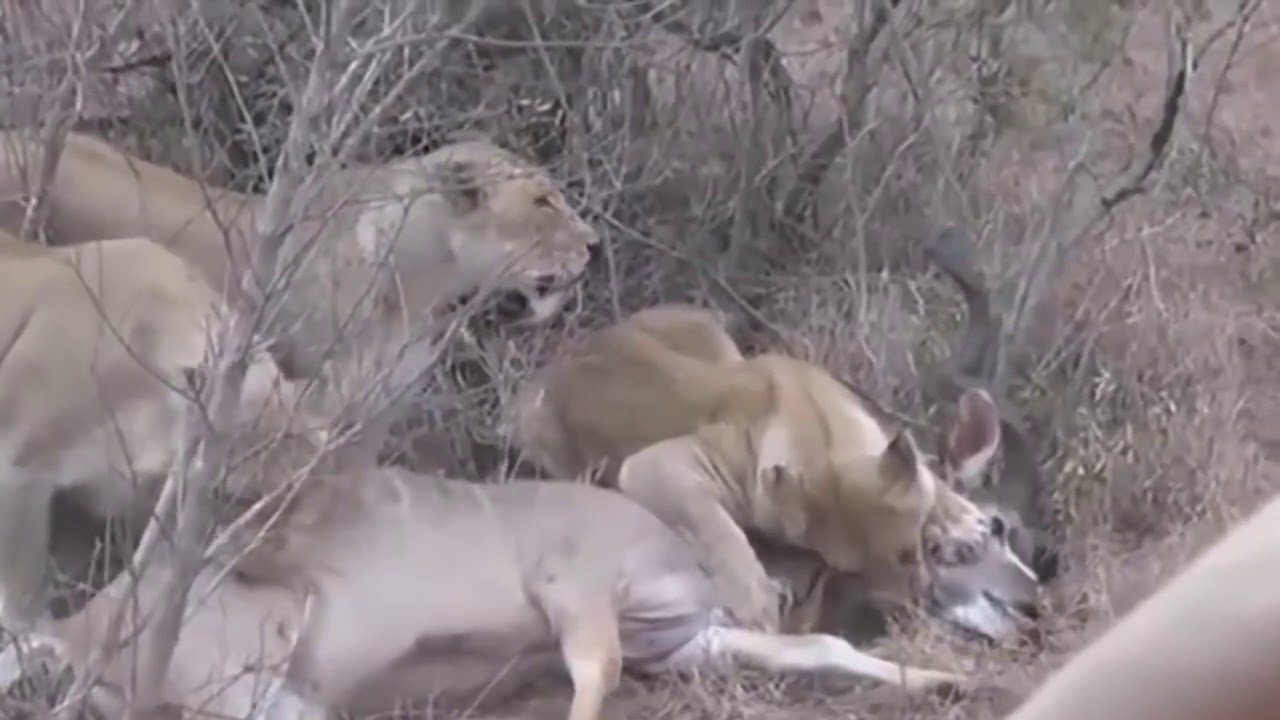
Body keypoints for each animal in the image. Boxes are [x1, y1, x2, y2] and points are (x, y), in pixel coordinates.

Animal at [508, 303, 1023, 632]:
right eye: (851, 572)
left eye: (907, 553)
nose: (904, 611)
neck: (821, 435)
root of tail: (574, 351)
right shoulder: (654, 466)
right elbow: (716, 528)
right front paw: (756, 604)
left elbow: (930, 479)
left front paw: (963, 522)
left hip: (712, 338)